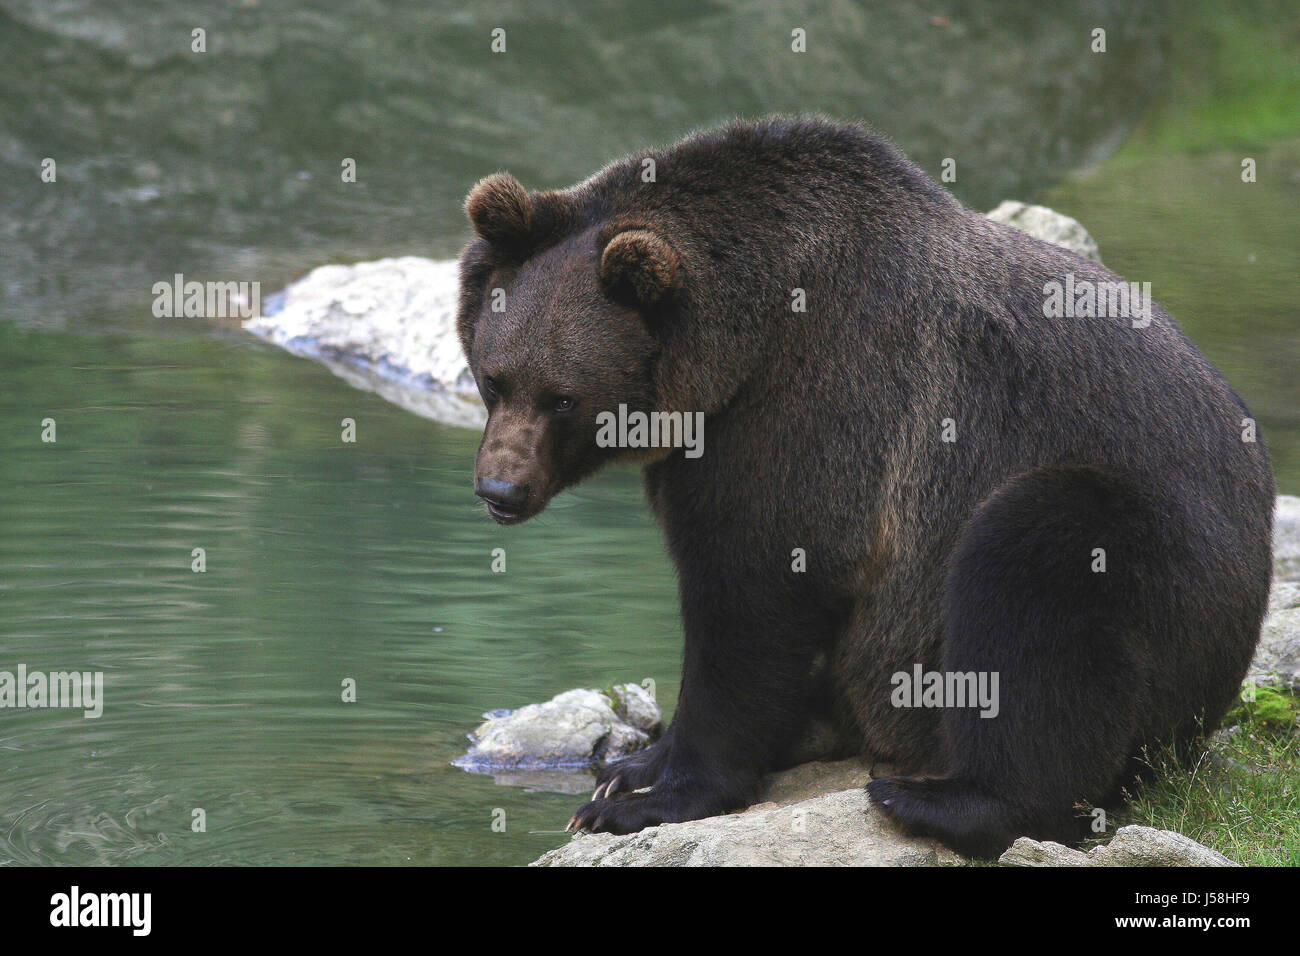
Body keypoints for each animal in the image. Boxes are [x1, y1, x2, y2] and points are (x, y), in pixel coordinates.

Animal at [454, 116, 1274, 857]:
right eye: (494, 378)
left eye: (564, 398)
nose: (499, 488)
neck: (734, 354)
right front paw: (631, 766)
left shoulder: (816, 413)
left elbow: (752, 597)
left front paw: (646, 800)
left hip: (1159, 569)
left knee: (1043, 564)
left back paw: (939, 799)